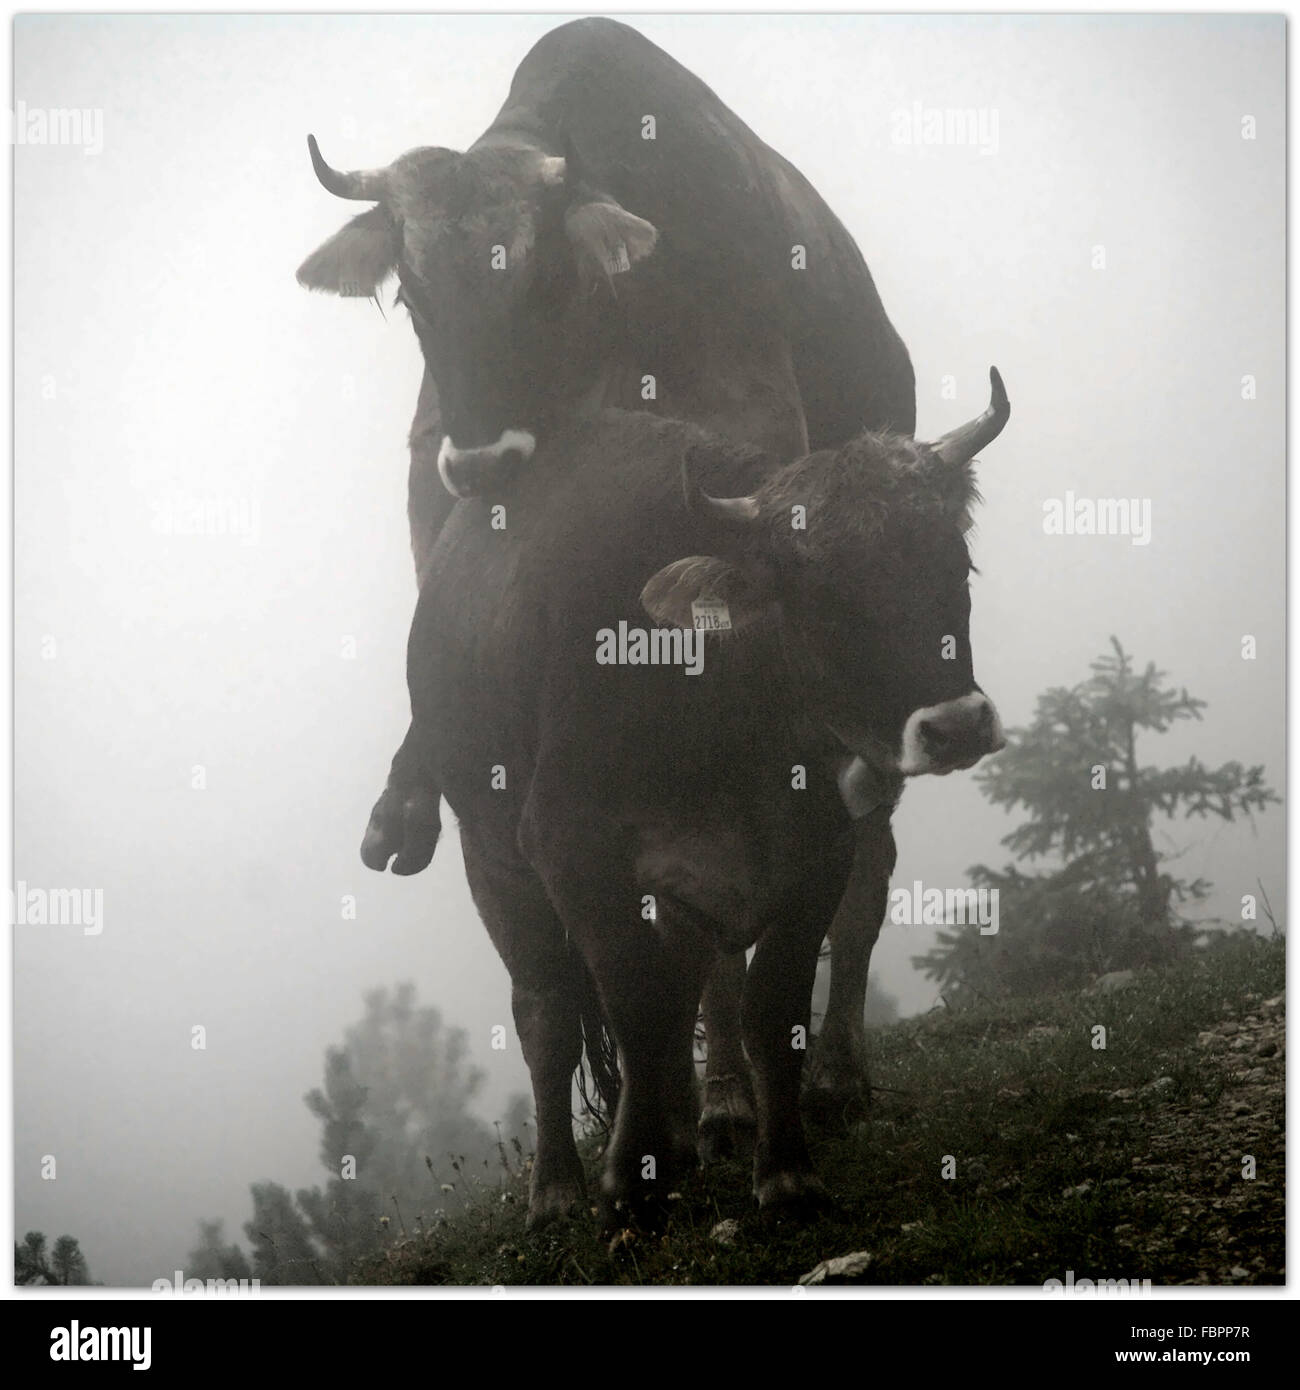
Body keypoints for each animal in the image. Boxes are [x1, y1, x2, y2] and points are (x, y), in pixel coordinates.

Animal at [298, 16, 916, 1142]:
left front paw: (727, 1090)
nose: (485, 460)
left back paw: (824, 1068)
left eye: (537, 277)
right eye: (414, 292)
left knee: (867, 862)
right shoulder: (437, 473)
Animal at [404, 376, 1008, 1225]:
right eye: (822, 596)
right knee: (547, 1011)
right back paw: (558, 1189)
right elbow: (631, 1003)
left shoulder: (819, 850)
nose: (955, 727)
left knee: (683, 977)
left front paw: (785, 1172)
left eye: (956, 566)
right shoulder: (571, 851)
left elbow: (769, 1005)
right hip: (492, 856)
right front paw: (630, 1180)